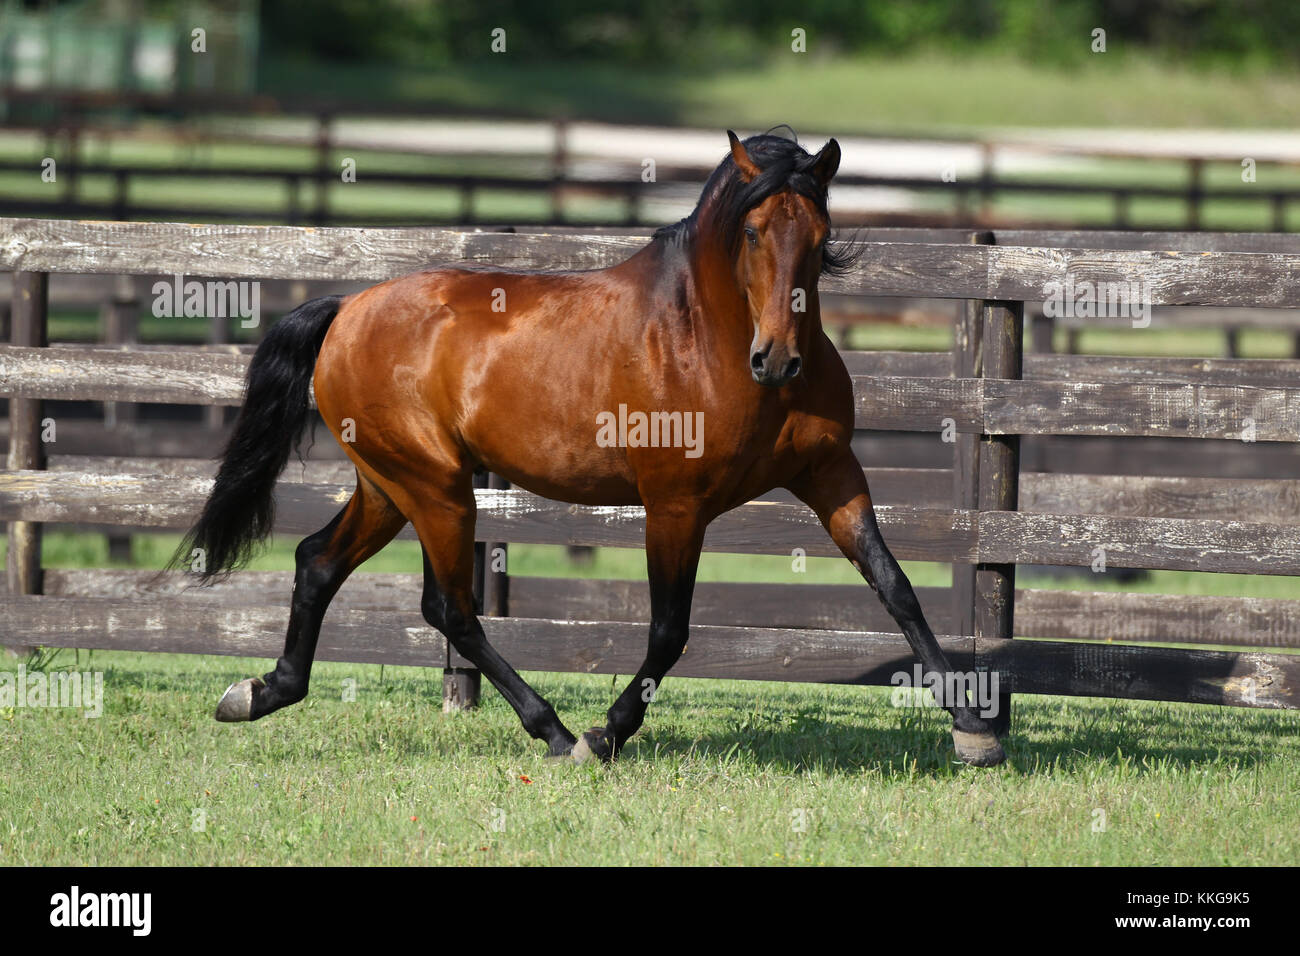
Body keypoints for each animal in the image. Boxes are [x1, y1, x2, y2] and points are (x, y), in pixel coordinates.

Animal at [174, 130, 1007, 768]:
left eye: (822, 237)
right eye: (752, 231)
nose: (778, 360)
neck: (708, 340)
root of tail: (348, 309)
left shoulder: (831, 473)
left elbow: (895, 586)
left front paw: (973, 730)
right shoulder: (674, 507)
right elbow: (669, 631)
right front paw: (608, 734)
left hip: (388, 485)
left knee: (318, 561)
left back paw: (257, 692)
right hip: (436, 487)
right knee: (451, 608)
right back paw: (554, 731)